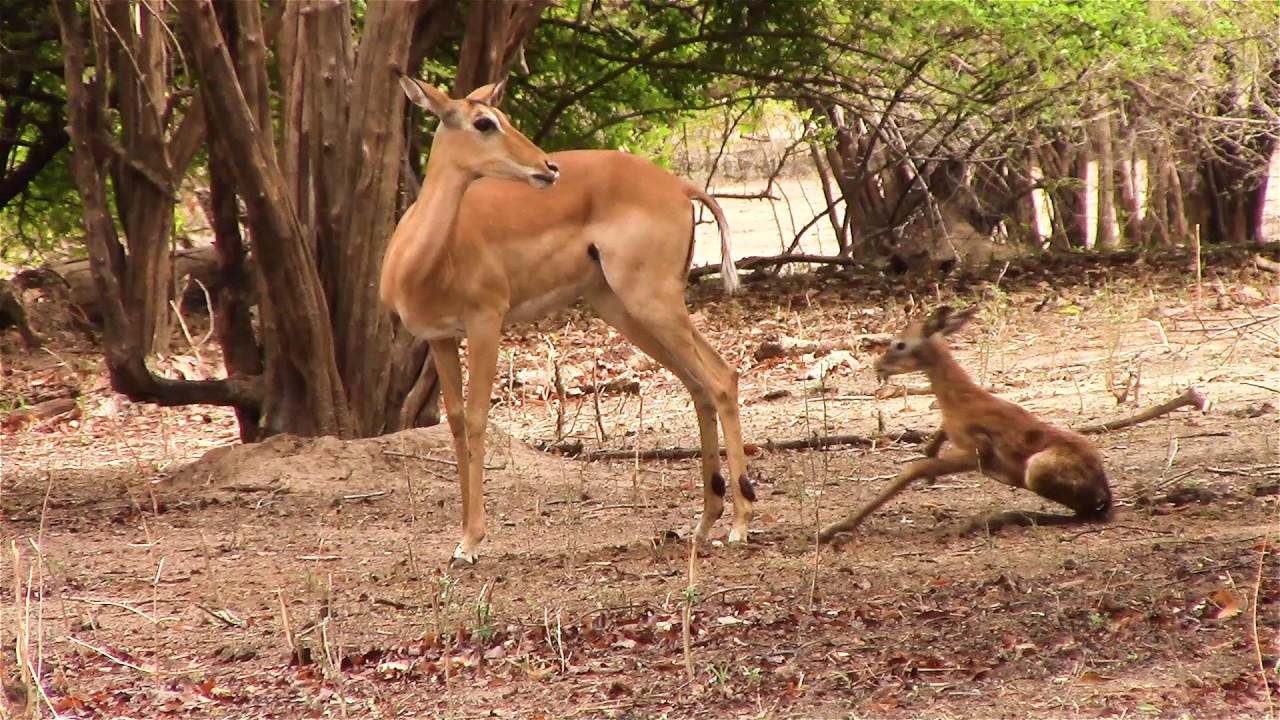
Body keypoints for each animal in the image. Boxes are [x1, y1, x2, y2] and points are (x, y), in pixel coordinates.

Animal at [380, 75, 754, 565]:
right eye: (484, 121)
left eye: (501, 116)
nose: (548, 167)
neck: (424, 262)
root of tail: (679, 187)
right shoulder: (441, 338)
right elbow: (457, 423)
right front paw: (461, 535)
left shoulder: (485, 324)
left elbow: (479, 418)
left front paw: (471, 542)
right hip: (624, 310)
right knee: (699, 385)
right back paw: (705, 524)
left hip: (654, 301)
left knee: (722, 376)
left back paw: (740, 525)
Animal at [818, 306, 1112, 543]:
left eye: (900, 344)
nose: (878, 366)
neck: (959, 401)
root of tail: (1104, 489)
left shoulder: (979, 450)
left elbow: (915, 468)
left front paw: (835, 527)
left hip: (1036, 468)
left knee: (1083, 514)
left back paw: (989, 520)